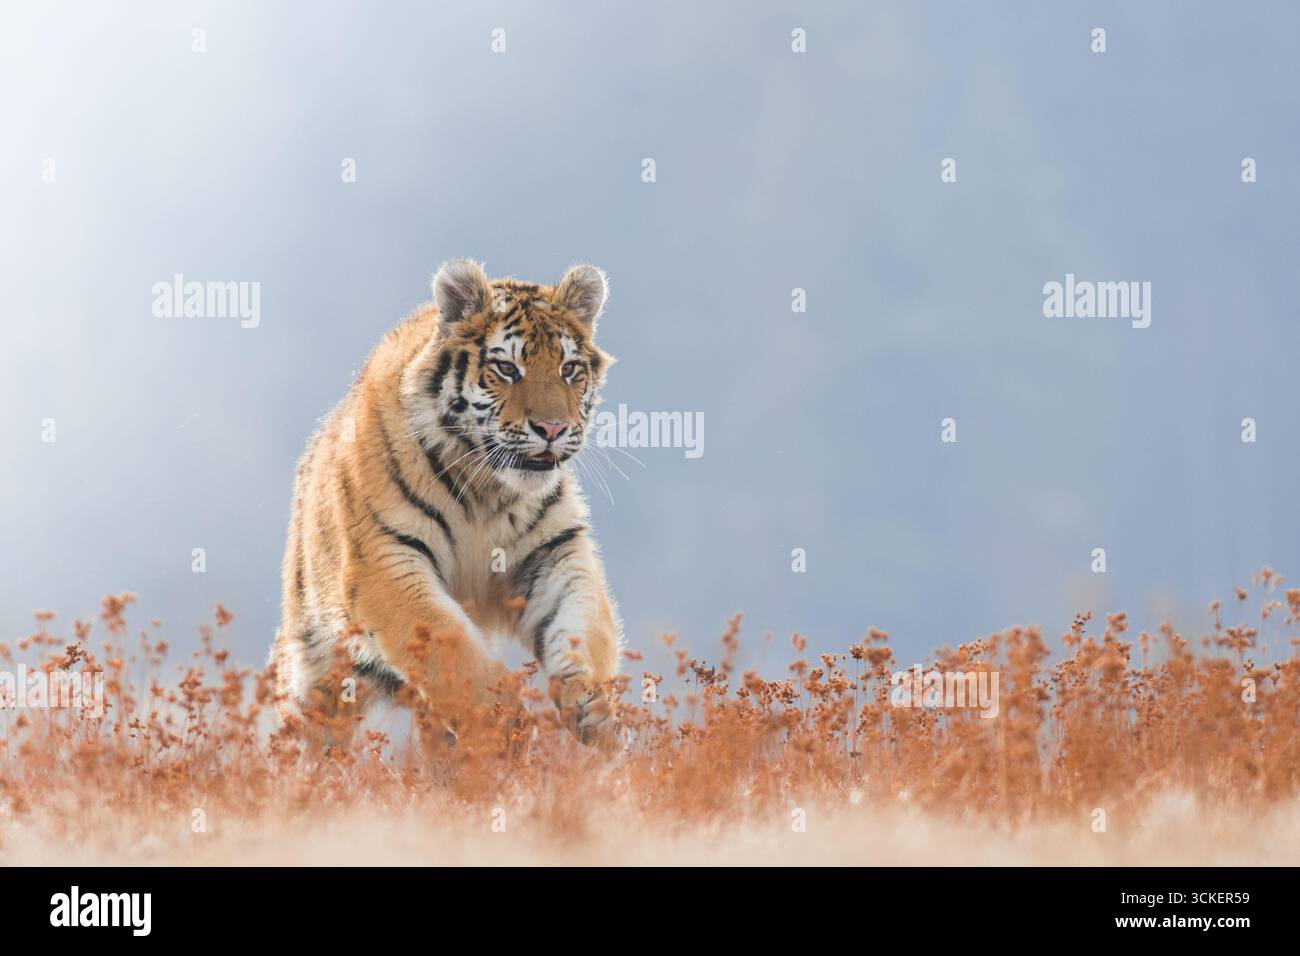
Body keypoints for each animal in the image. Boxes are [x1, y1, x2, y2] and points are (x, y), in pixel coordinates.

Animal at [269, 259, 622, 748]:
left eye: (570, 368)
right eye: (506, 368)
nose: (552, 428)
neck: (487, 488)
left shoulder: (554, 553)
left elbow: (582, 627)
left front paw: (594, 707)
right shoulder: (386, 561)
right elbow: (452, 651)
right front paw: (505, 723)